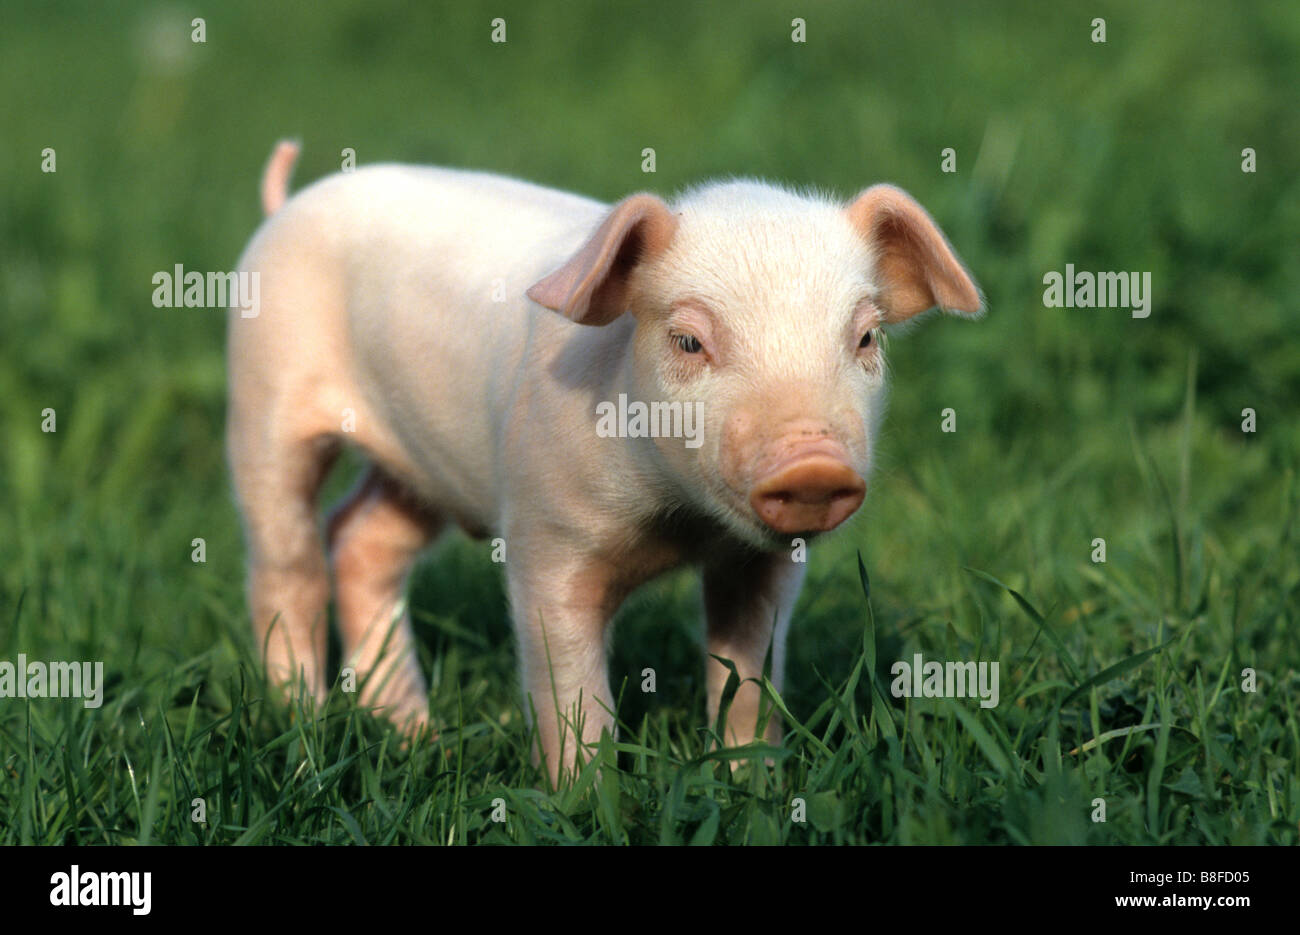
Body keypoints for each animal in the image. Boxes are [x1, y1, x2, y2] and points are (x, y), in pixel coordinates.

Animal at [226, 141, 982, 783]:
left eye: (866, 337)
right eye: (687, 341)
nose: (813, 464)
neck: (679, 521)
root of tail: (288, 203)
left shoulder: (761, 563)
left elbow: (747, 677)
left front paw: (753, 786)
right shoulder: (543, 532)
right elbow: (573, 692)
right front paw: (585, 799)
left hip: (420, 466)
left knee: (362, 539)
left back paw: (416, 736)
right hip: (264, 395)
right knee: (286, 562)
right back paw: (300, 724)